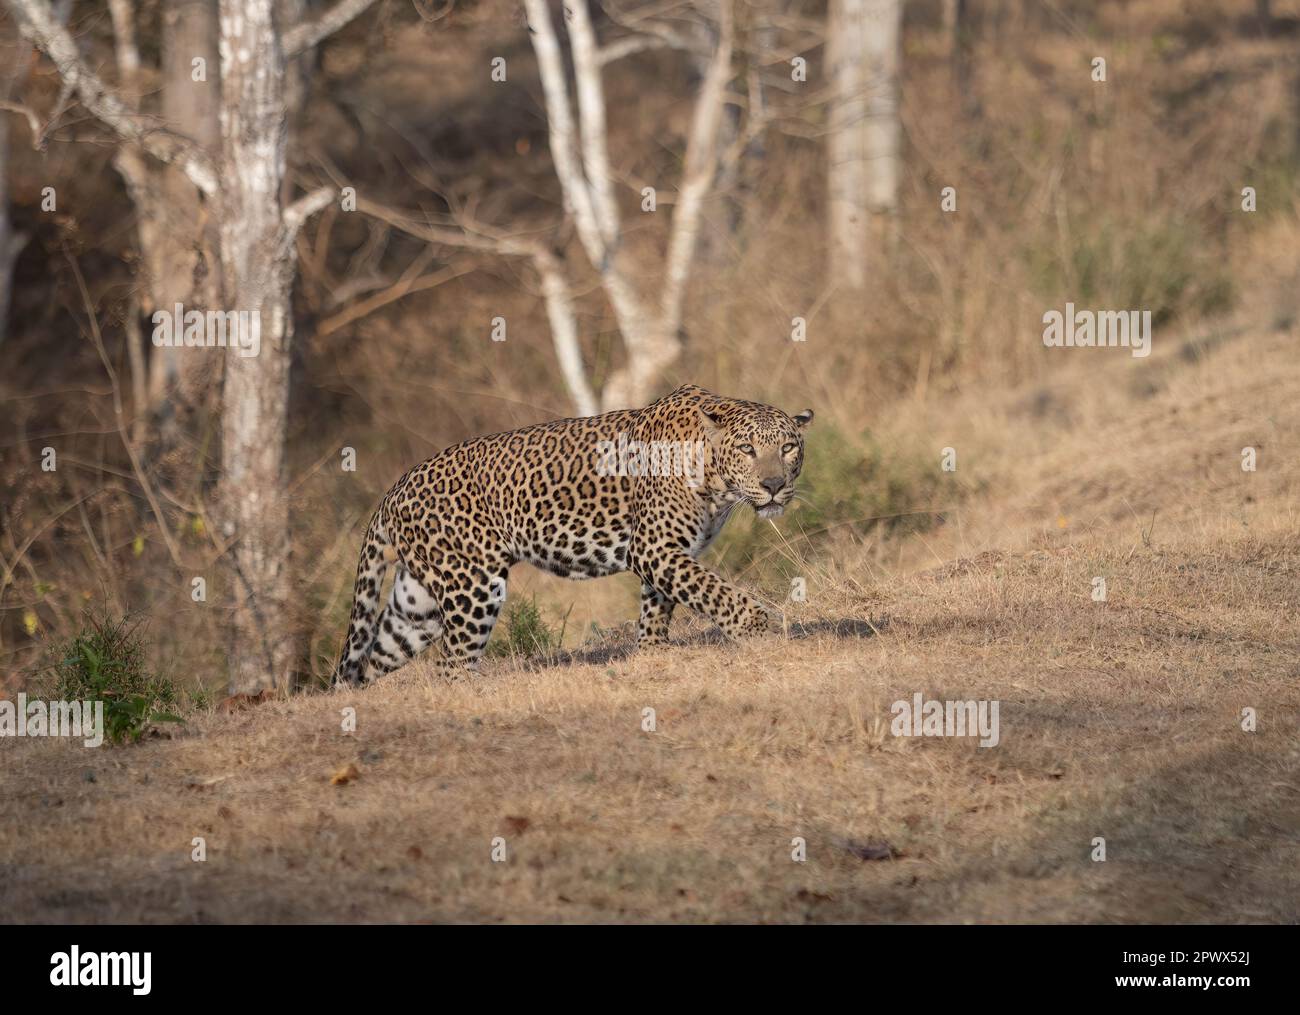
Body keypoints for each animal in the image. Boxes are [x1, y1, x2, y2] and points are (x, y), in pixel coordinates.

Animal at [332, 383, 813, 684]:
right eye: (747, 449)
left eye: (788, 447)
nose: (774, 485)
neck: (715, 479)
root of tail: (393, 490)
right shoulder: (654, 548)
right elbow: (714, 591)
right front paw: (756, 628)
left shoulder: (667, 554)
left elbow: (659, 607)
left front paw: (653, 653)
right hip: (472, 586)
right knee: (453, 662)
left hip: (418, 604)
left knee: (370, 657)